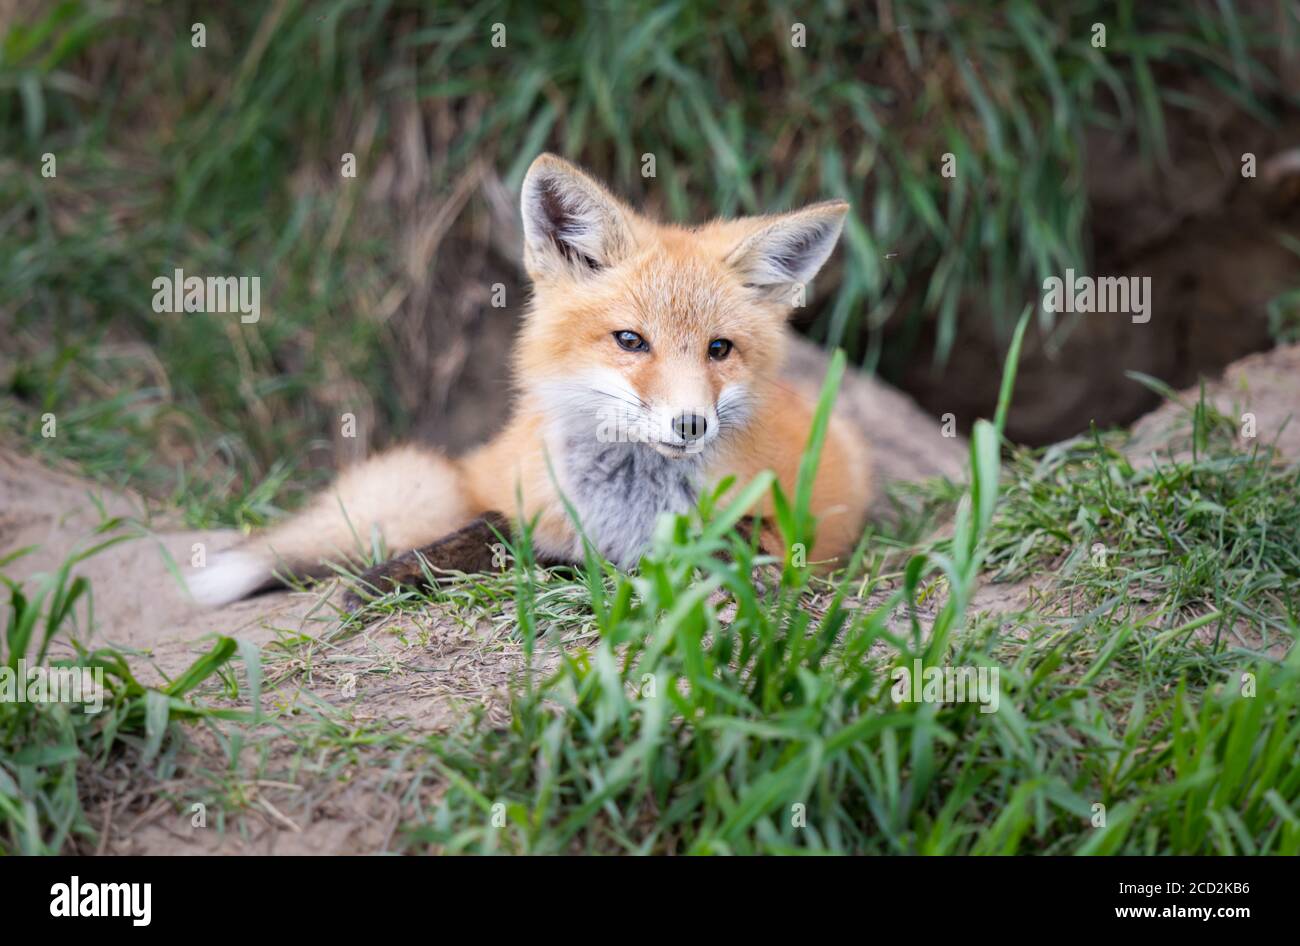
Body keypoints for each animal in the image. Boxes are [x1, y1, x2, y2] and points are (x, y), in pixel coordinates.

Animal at [187, 153, 871, 607]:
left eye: (719, 349)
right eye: (631, 341)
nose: (690, 424)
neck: (627, 506)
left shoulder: (774, 540)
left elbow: (711, 550)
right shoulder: (533, 512)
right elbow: (488, 531)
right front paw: (396, 575)